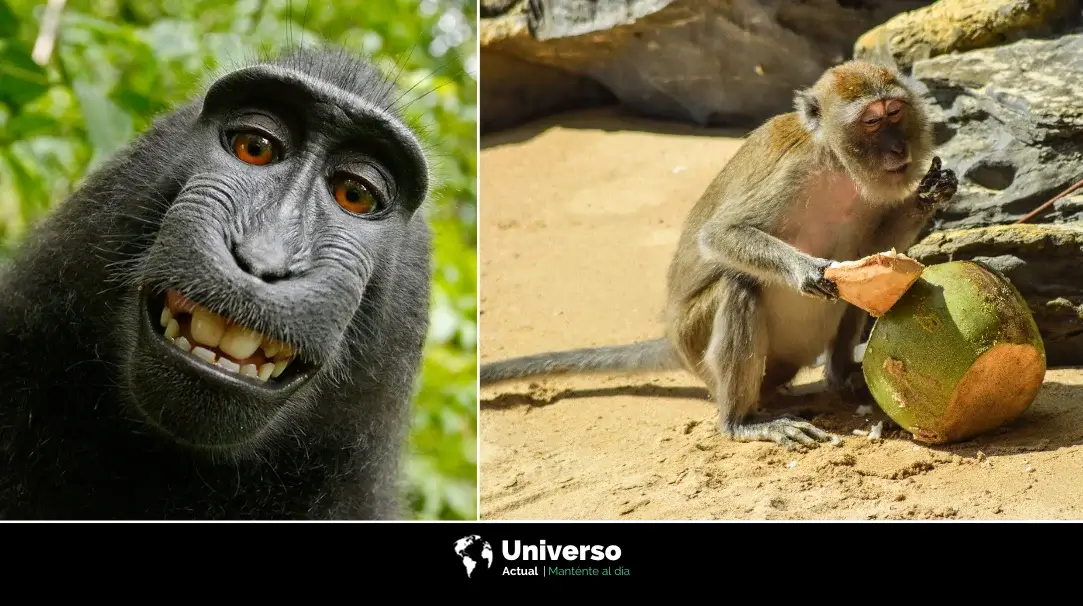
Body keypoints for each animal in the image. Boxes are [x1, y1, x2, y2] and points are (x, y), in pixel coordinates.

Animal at [481, 60, 958, 451]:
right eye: (872, 122)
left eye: (895, 113)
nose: (899, 151)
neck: (837, 164)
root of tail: (673, 341)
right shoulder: (793, 171)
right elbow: (720, 234)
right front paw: (806, 269)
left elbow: (868, 255)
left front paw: (930, 193)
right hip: (696, 340)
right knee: (739, 284)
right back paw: (741, 421)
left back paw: (839, 376)